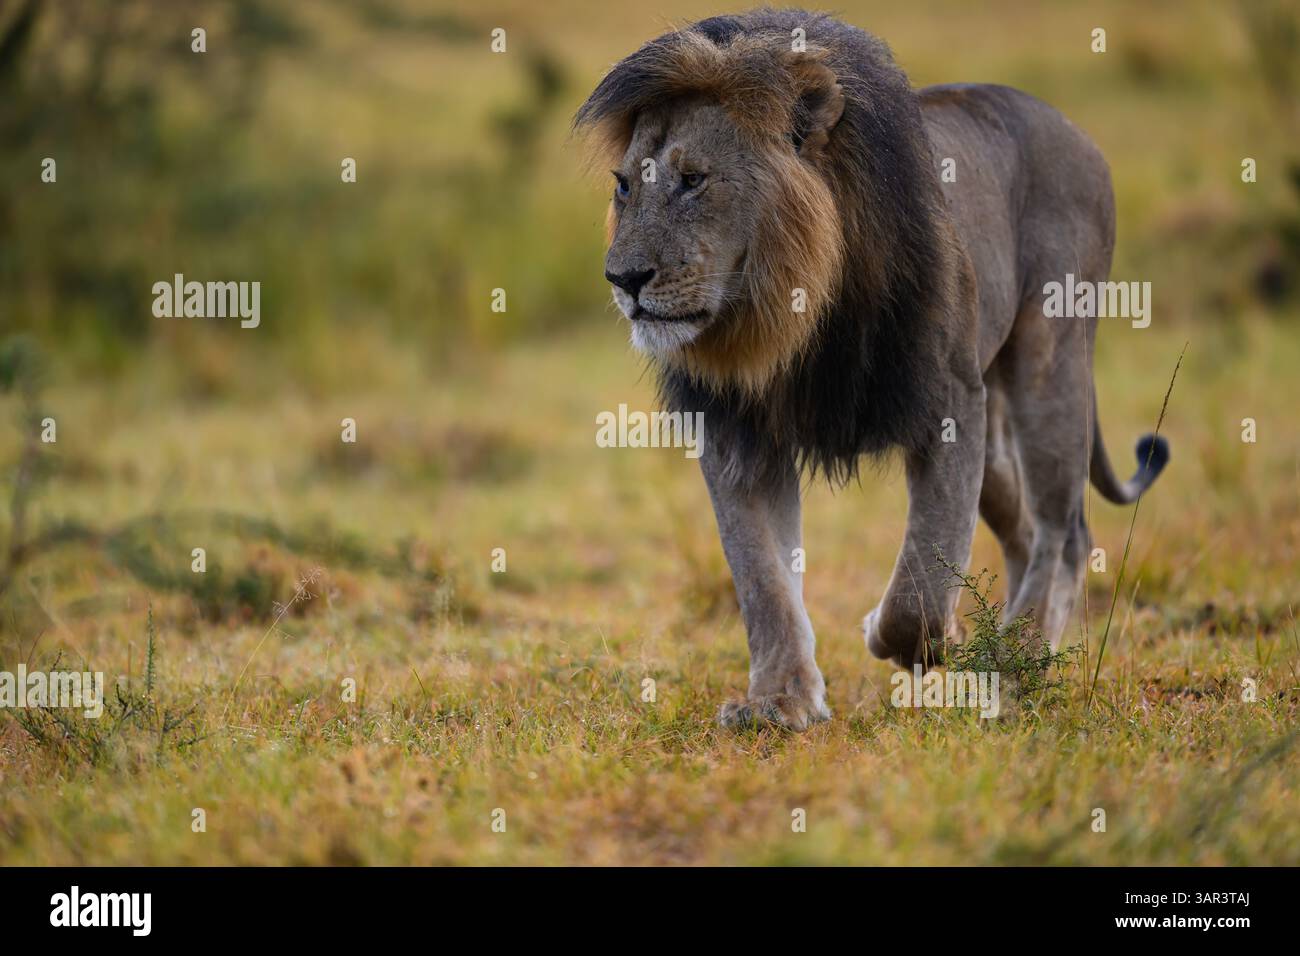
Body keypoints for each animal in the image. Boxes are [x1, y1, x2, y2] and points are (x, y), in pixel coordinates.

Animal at [575, 8, 1170, 730]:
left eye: (693, 180)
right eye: (624, 186)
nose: (623, 279)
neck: (784, 314)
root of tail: (1075, 130)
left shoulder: (949, 402)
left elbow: (922, 575)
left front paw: (907, 640)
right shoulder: (737, 434)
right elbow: (763, 580)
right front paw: (778, 703)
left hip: (1047, 366)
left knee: (1065, 530)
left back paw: (1020, 662)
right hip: (996, 433)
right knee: (1029, 531)